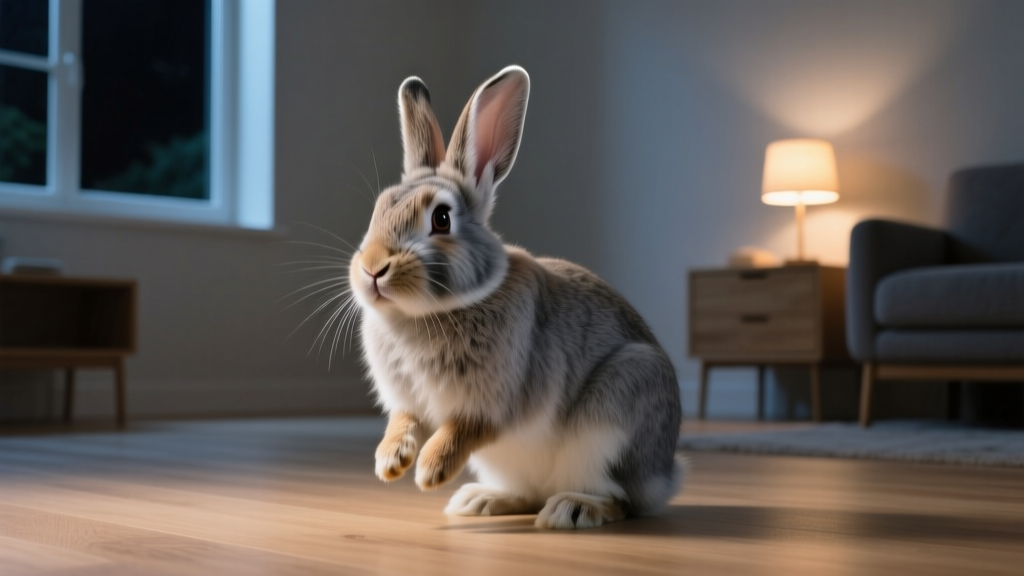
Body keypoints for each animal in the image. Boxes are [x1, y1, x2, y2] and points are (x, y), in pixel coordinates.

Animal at [349, 65, 684, 529]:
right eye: (379, 210)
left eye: (441, 218)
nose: (372, 269)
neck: (423, 315)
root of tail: (665, 475)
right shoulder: (407, 402)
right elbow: (404, 421)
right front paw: (390, 462)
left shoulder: (499, 400)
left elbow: (462, 429)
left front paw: (430, 470)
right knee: (528, 494)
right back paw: (479, 500)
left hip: (618, 411)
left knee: (621, 500)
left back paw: (571, 509)